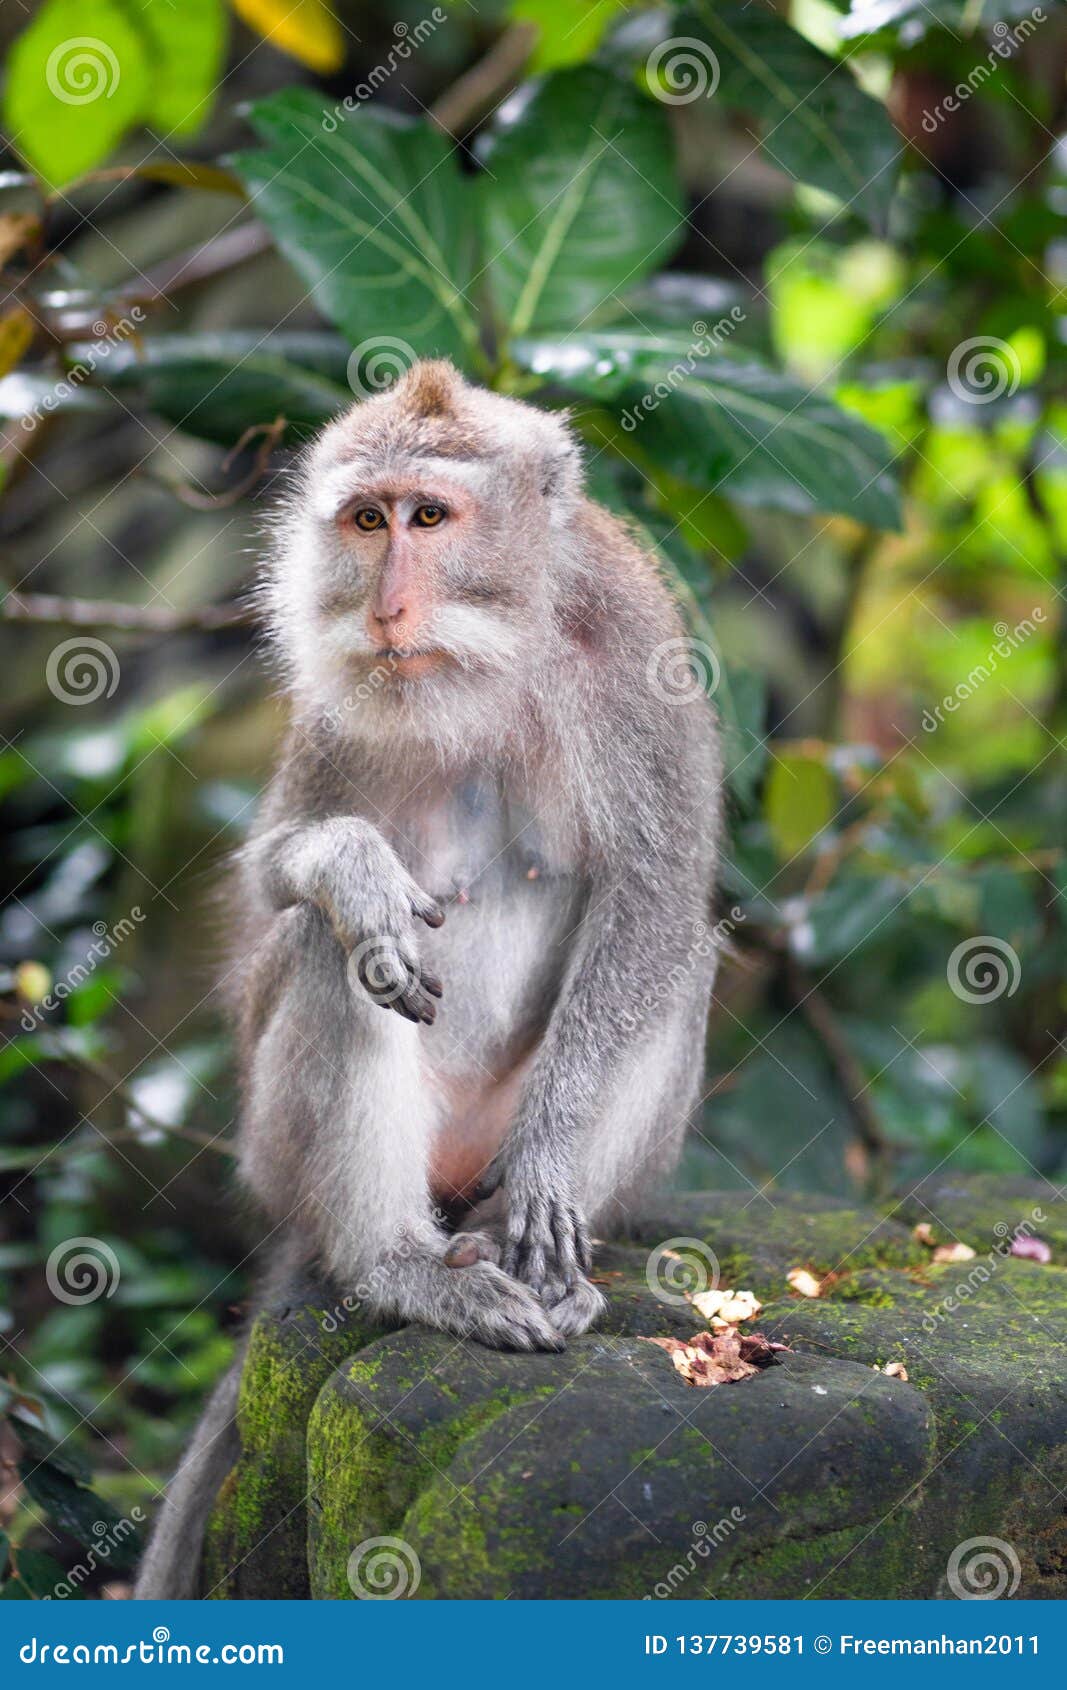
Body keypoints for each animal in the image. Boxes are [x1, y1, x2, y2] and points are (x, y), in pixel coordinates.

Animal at [134, 360, 722, 1597]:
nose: (385, 609)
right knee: (333, 956)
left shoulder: (639, 653)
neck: (486, 657)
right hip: (274, 1151)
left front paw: (549, 1151)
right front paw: (352, 868)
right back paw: (399, 1266)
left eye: (430, 518)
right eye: (367, 522)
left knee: (681, 952)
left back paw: (524, 1254)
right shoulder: (329, 704)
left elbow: (656, 892)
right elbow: (275, 873)